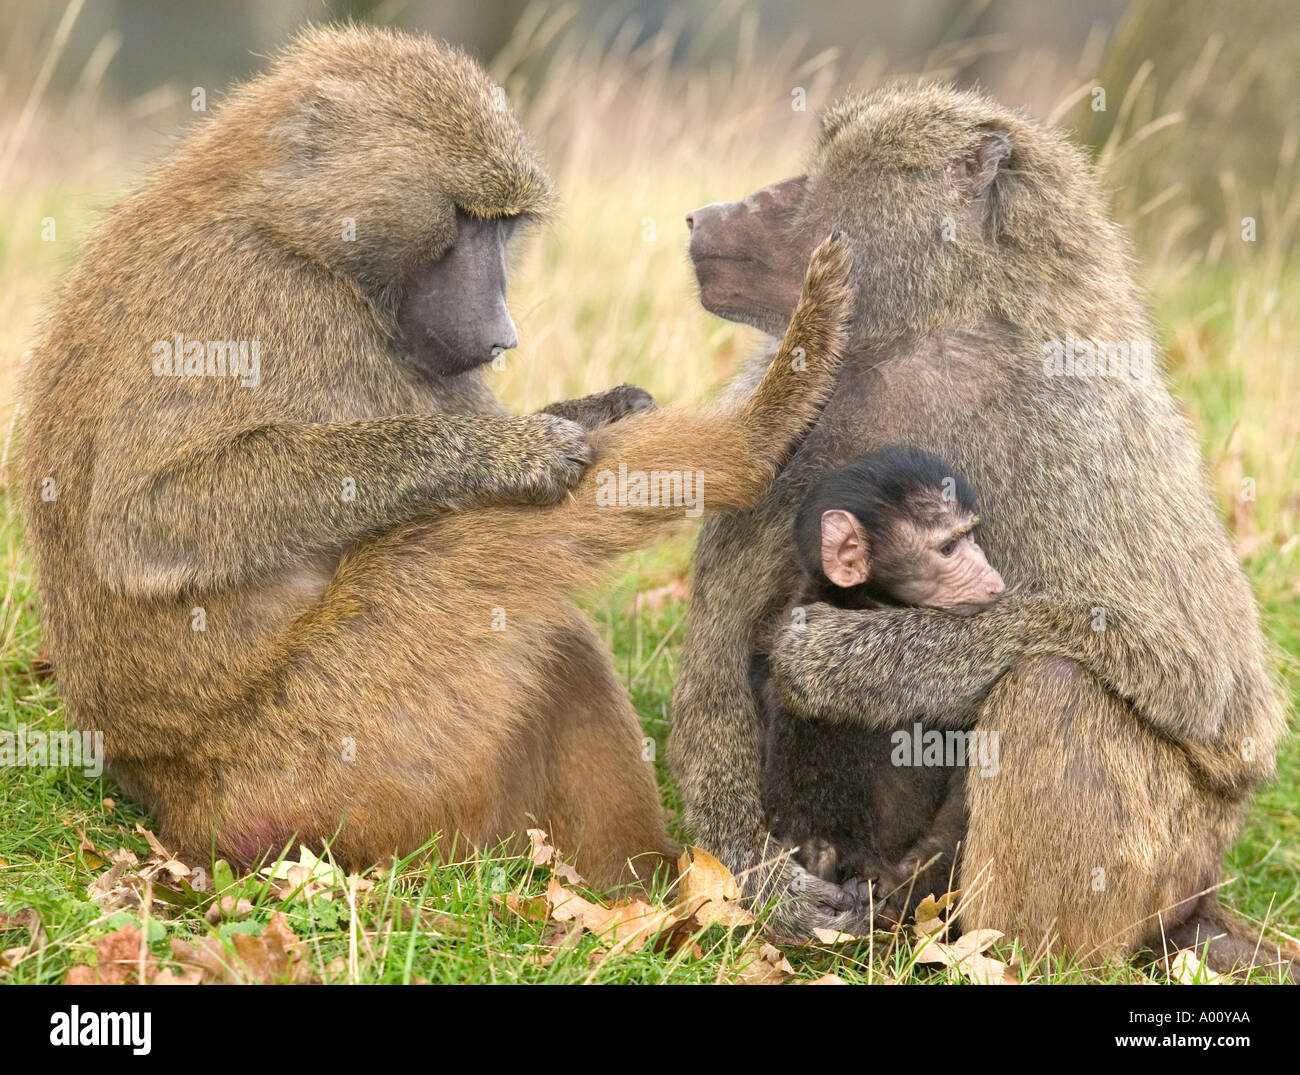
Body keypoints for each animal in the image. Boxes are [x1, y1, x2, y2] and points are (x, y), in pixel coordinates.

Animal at [14, 21, 855, 886]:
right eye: (464, 219)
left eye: (505, 227)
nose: (502, 332)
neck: (296, 236)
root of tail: (175, 802)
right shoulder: (247, 294)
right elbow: (145, 519)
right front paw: (505, 452)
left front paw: (601, 407)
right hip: (333, 743)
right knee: (503, 542)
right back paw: (767, 419)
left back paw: (661, 886)